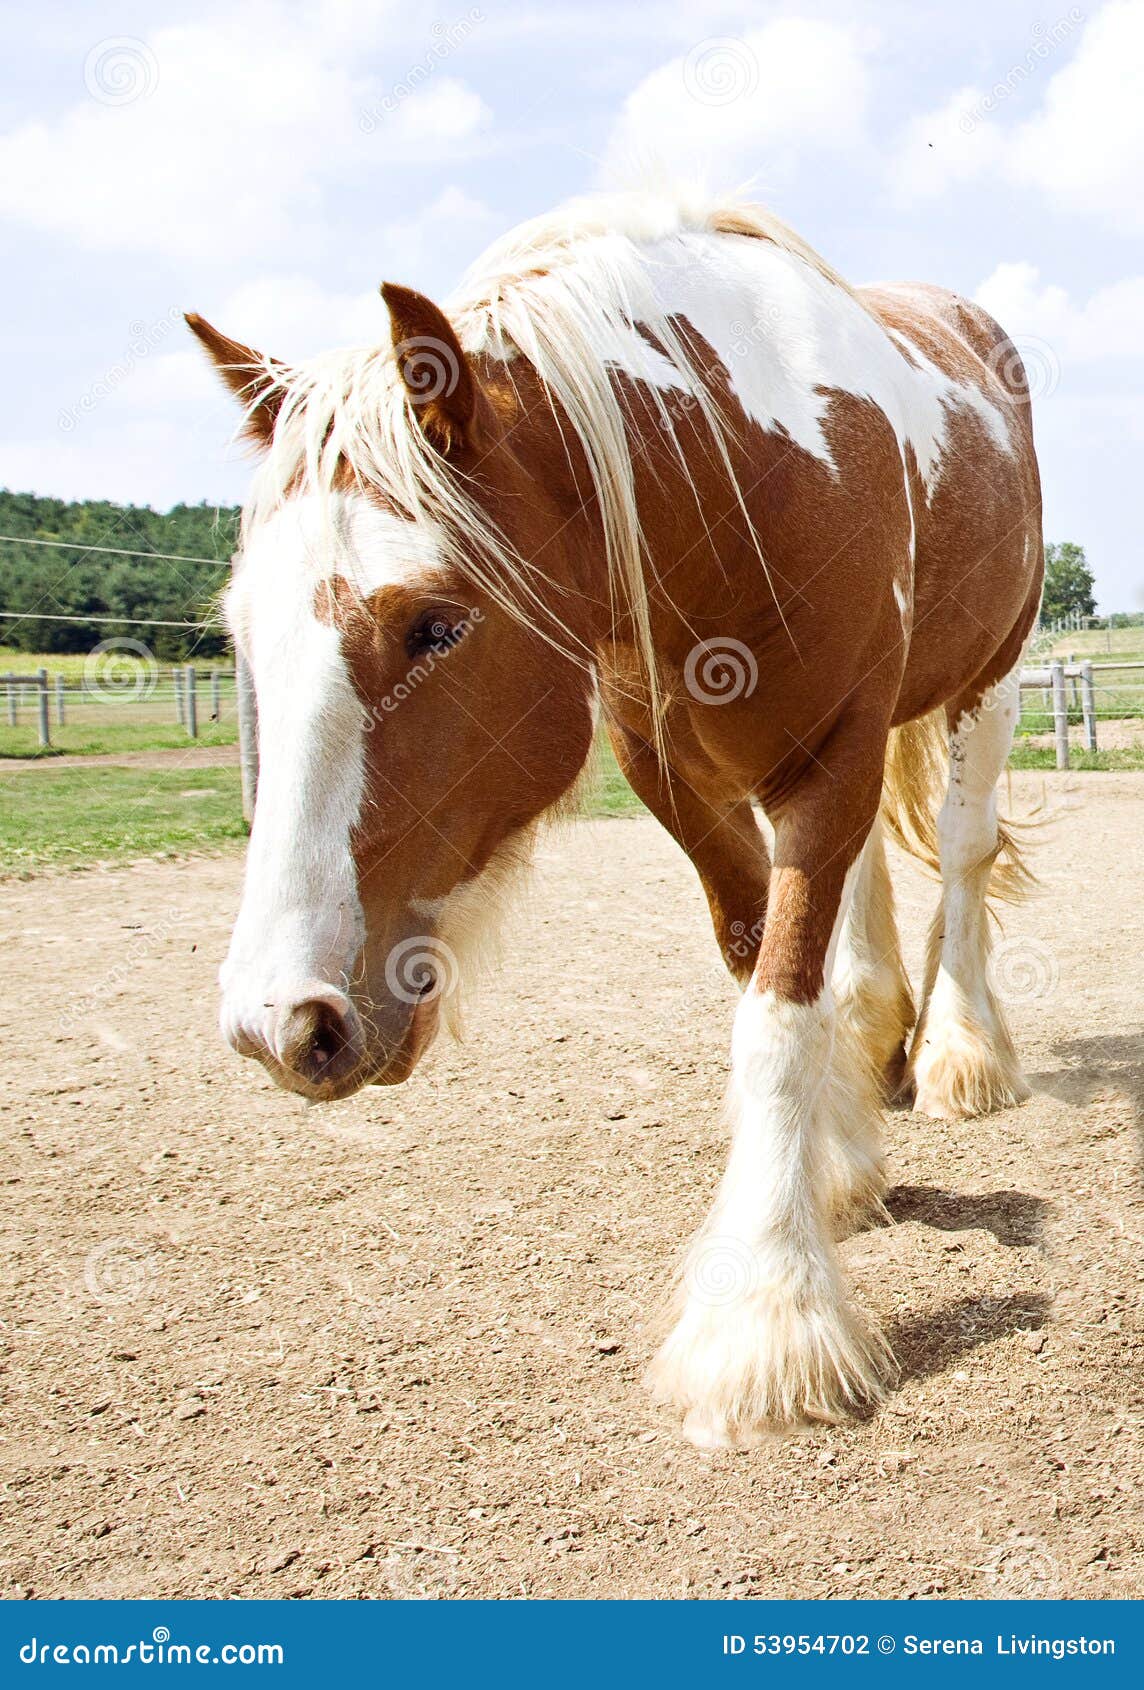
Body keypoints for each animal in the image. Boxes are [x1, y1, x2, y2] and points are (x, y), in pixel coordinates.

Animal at [187, 187, 1043, 1450]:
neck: (749, 478)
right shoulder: (673, 775)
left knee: (966, 853)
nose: (278, 1023)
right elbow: (764, 962)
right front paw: (835, 1164)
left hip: (990, 676)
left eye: (435, 623)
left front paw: (768, 1309)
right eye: (243, 627)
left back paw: (958, 1050)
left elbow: (778, 1010)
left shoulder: (830, 758)